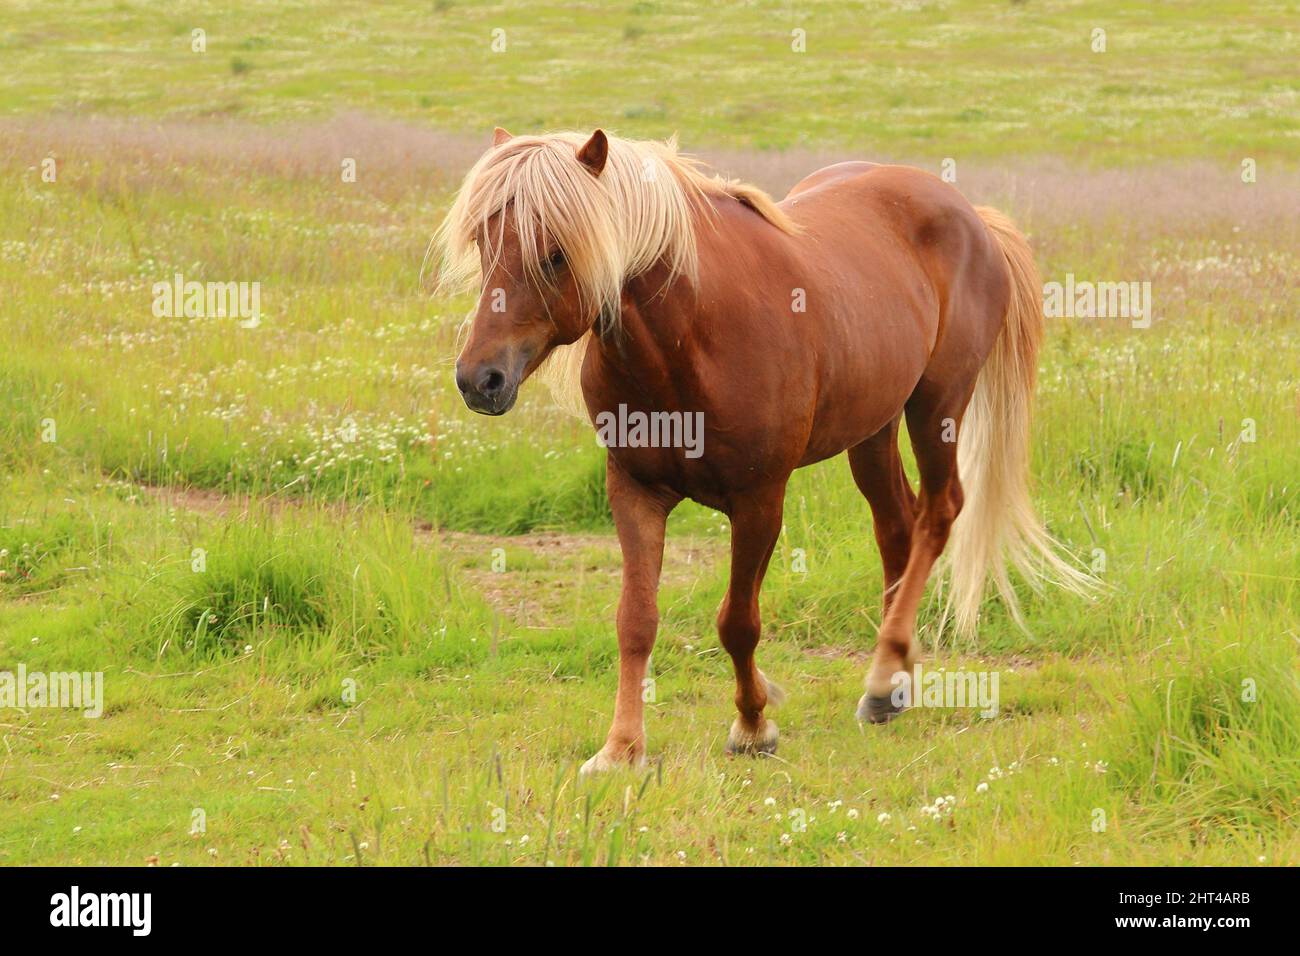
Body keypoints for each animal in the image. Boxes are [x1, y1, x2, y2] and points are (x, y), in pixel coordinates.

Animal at [436, 127, 1092, 773]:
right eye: (484, 244)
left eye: (556, 253)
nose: (479, 379)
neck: (691, 340)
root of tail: (969, 214)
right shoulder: (634, 490)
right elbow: (635, 620)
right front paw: (621, 748)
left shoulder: (759, 501)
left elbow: (738, 622)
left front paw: (753, 725)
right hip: (873, 429)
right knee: (897, 527)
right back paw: (892, 680)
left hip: (938, 407)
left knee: (938, 513)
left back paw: (885, 677)